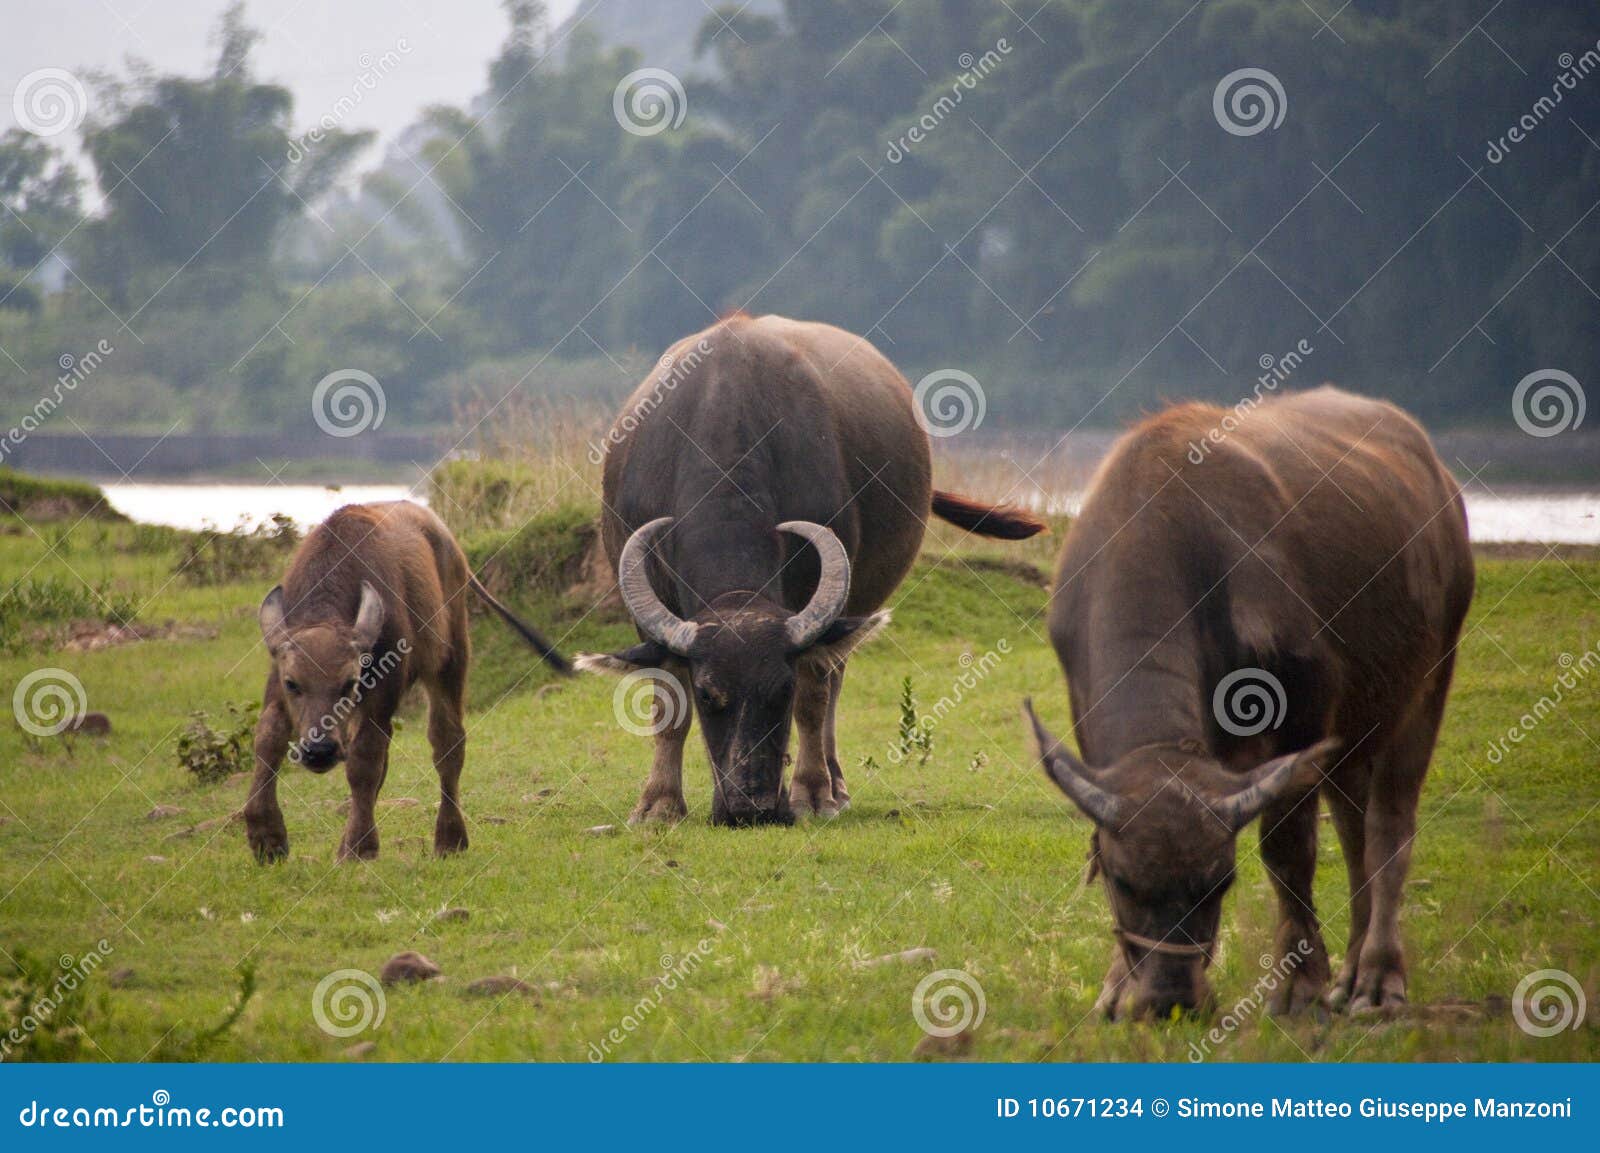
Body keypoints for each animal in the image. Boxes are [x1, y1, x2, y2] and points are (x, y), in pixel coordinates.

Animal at [243, 501, 569, 862]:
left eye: (349, 683)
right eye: (293, 683)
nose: (319, 750)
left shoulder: (381, 694)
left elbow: (364, 761)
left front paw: (360, 846)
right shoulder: (276, 689)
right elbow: (268, 740)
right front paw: (266, 837)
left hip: (452, 658)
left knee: (447, 743)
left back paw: (450, 839)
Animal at [576, 313, 1043, 827]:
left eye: (779, 691)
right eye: (707, 694)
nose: (752, 809)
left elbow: (813, 700)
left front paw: (813, 794)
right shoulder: (649, 612)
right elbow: (666, 701)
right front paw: (658, 804)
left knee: (833, 681)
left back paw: (834, 784)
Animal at [1024, 386, 1473, 1019]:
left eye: (1219, 885)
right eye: (1123, 881)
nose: (1171, 1000)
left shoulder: (1303, 714)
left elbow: (1287, 850)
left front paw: (1299, 984)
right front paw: (1117, 988)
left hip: (1428, 682)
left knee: (1389, 827)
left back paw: (1378, 978)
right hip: (1354, 733)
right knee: (1353, 829)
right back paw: (1351, 973)